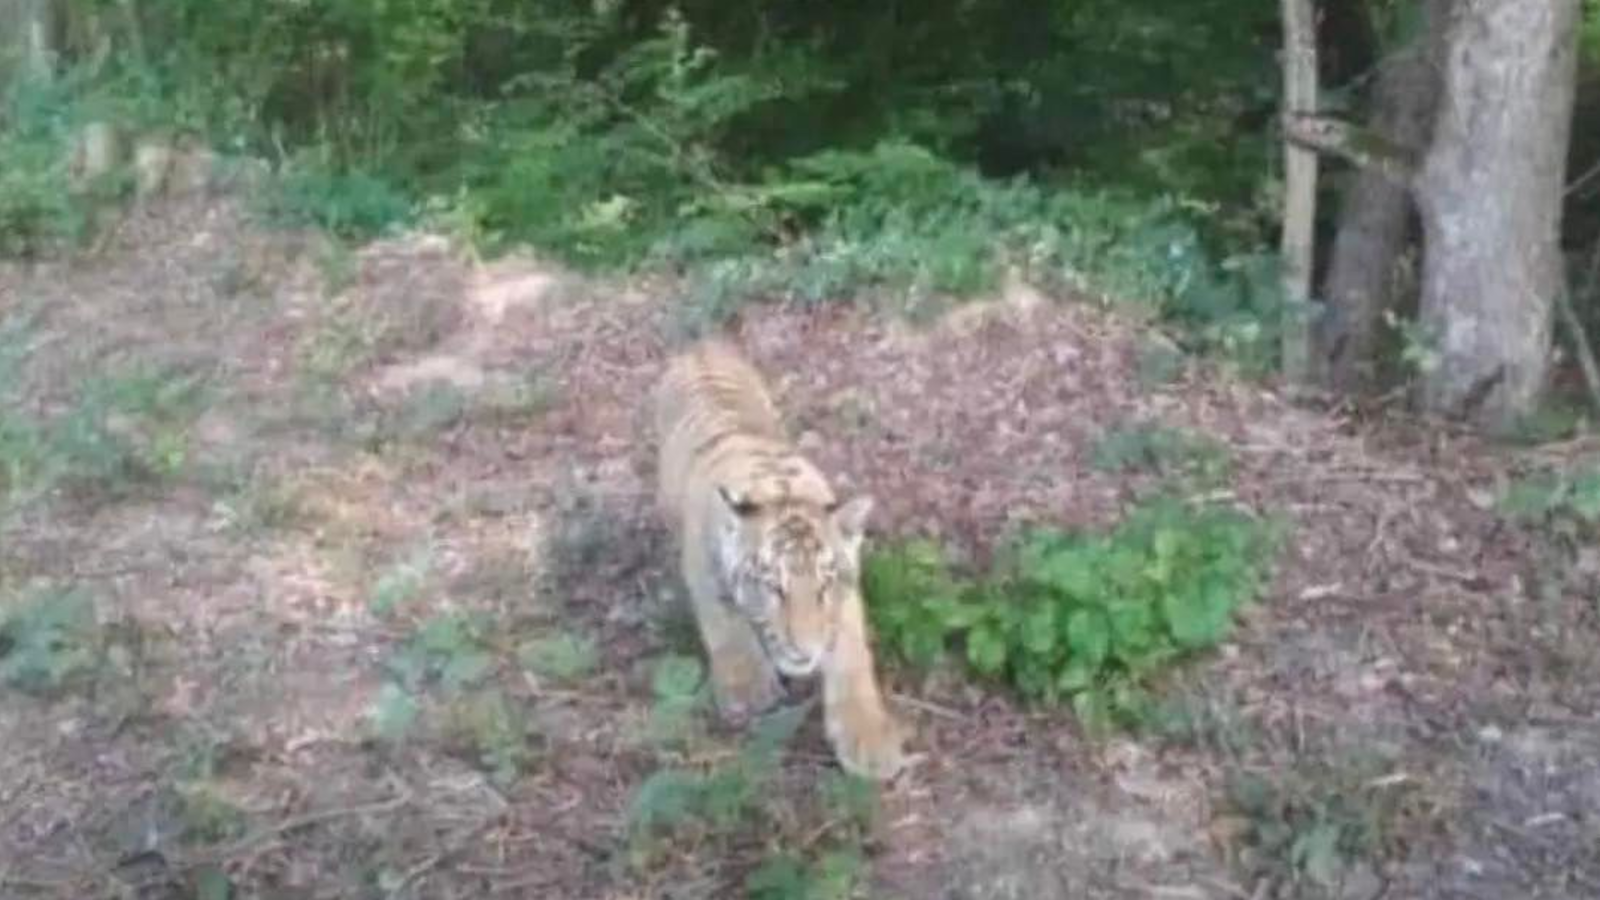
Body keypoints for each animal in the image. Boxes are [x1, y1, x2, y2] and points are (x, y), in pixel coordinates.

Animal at [652, 338, 907, 780]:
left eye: (824, 586)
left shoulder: (846, 597)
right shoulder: (702, 568)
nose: (804, 652)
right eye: (774, 587)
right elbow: (724, 622)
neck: (777, 489)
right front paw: (748, 687)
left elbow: (852, 657)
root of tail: (700, 345)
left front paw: (868, 739)